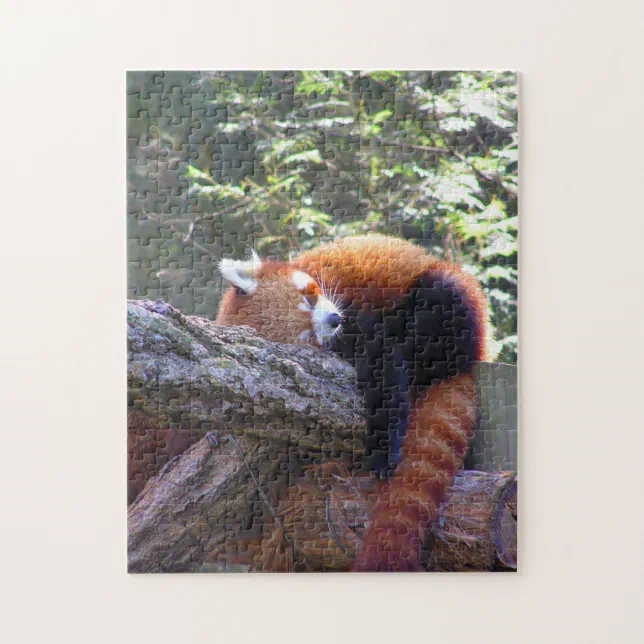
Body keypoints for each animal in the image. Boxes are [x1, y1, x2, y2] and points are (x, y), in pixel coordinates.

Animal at [216, 235, 491, 571]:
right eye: (309, 337)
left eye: (310, 298)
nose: (334, 320)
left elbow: (383, 362)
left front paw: (385, 449)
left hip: (451, 294)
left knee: (444, 298)